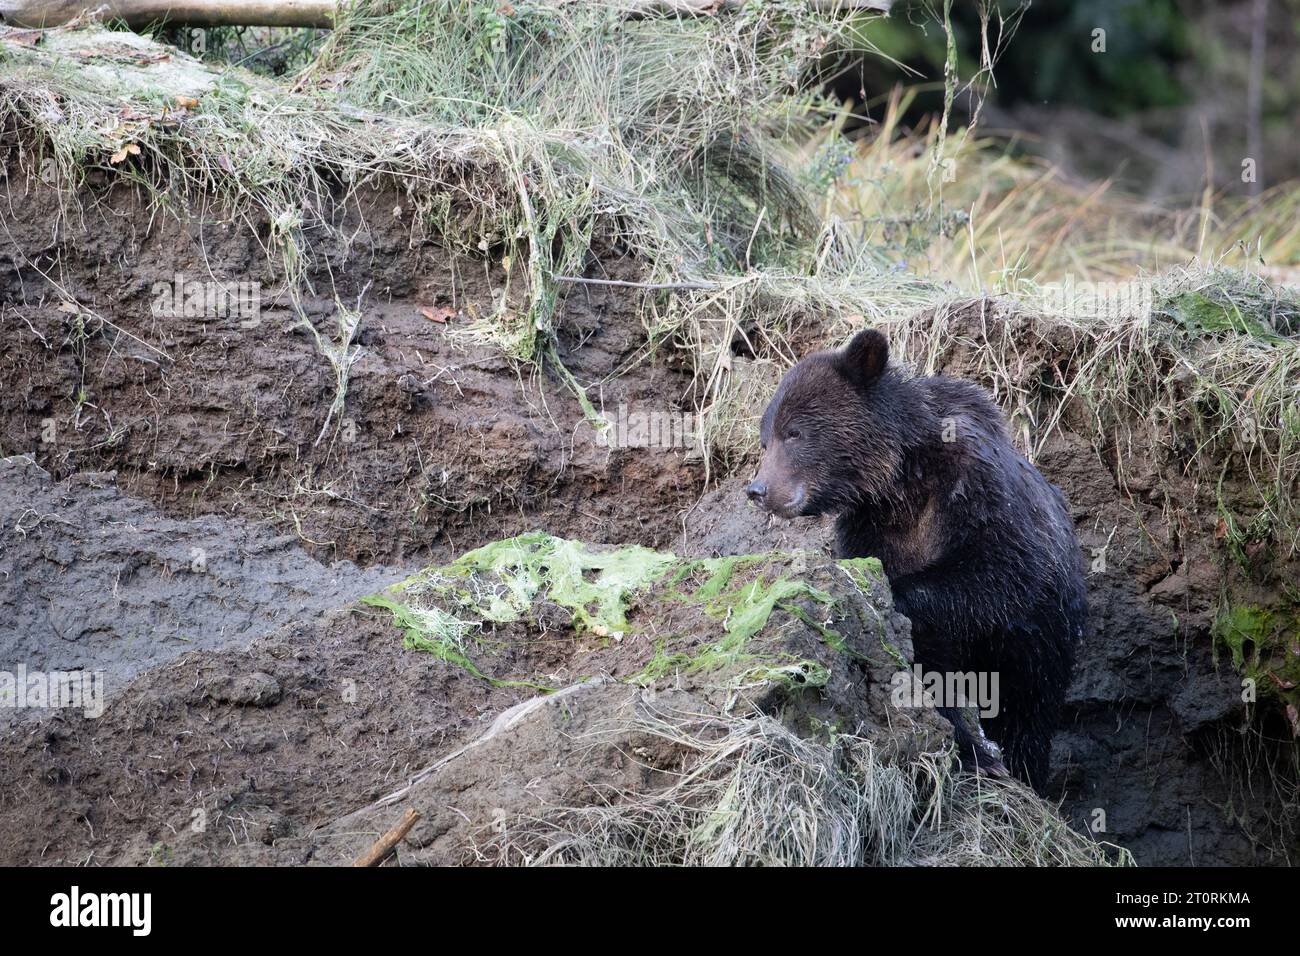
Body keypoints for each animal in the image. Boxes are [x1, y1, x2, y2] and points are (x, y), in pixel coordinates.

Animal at [745, 327, 1087, 794]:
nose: (758, 489)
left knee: (1029, 703)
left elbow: (1001, 572)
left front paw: (894, 594)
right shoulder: (869, 530)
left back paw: (1016, 767)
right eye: (766, 439)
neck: (899, 482)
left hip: (1043, 634)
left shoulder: (979, 495)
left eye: (794, 432)